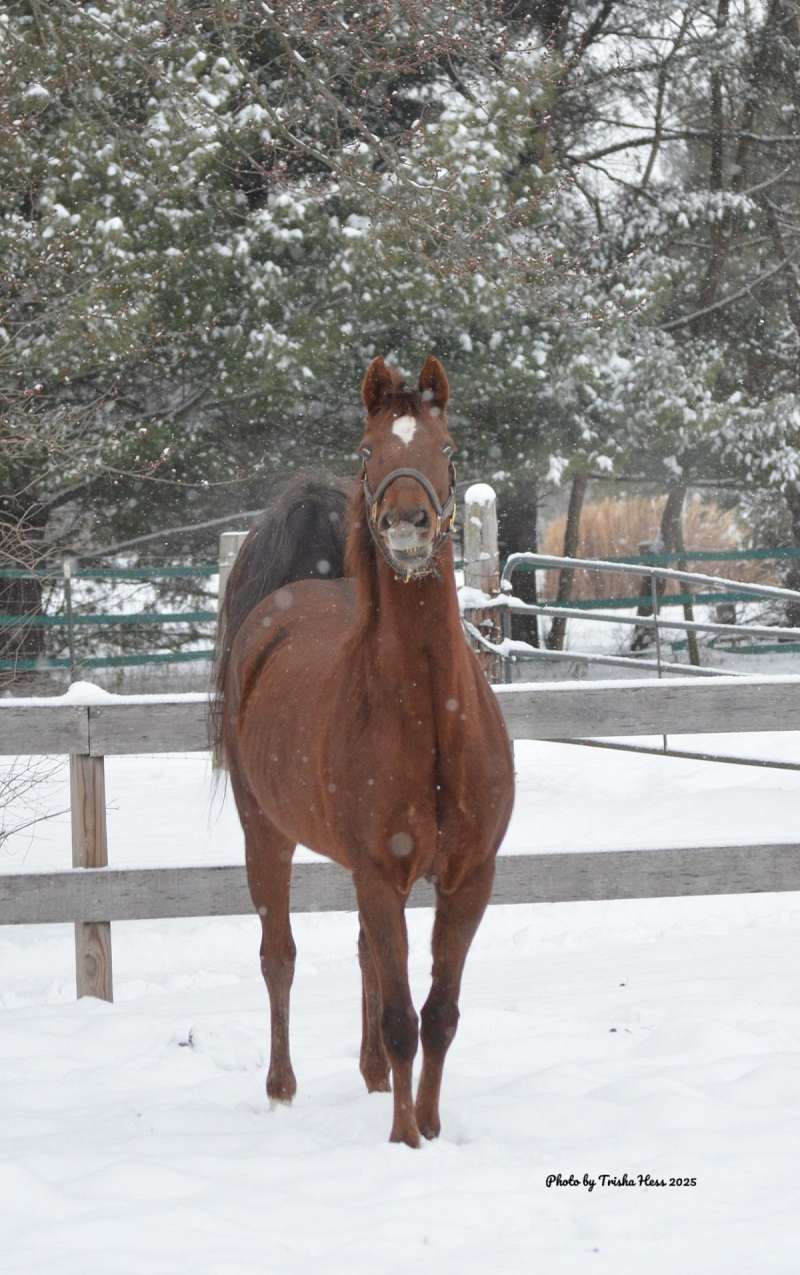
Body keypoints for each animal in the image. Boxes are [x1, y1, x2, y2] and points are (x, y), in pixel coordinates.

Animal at [212, 355, 515, 1147]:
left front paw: (431, 1126)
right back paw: (282, 1088)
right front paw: (405, 1140)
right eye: (368, 450)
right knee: (280, 956)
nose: (407, 523)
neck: (432, 718)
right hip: (265, 834)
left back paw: (374, 1076)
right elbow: (404, 1017)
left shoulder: (469, 878)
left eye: (446, 448)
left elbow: (439, 1014)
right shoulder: (380, 873)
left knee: (364, 958)